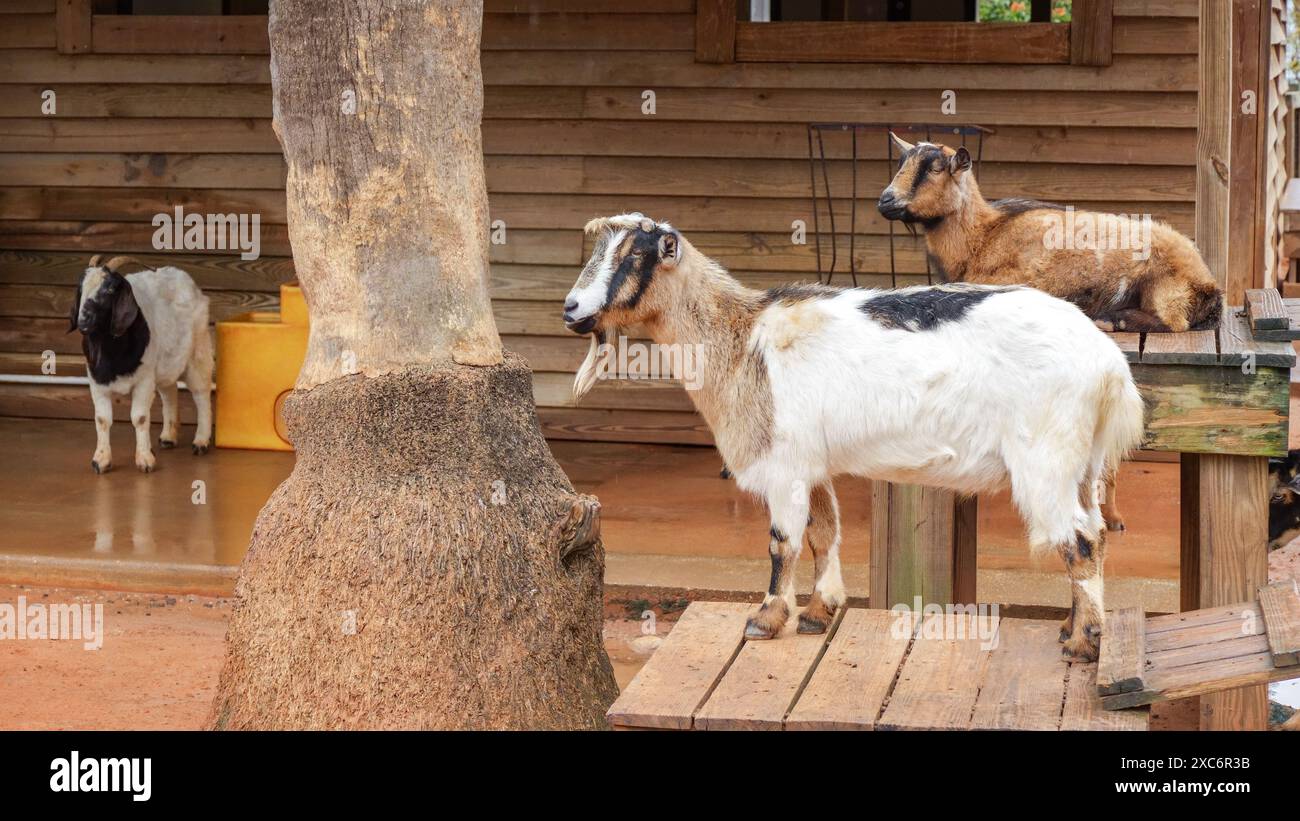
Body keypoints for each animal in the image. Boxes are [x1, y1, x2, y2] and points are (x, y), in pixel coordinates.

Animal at [70, 255, 213, 473]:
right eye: (81, 286)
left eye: (109, 289)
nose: (83, 320)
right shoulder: (96, 381)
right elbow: (102, 420)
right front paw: (100, 460)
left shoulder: (144, 380)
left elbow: (140, 418)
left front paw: (145, 459)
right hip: (165, 364)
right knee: (169, 392)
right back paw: (169, 437)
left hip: (198, 352)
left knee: (201, 394)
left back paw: (201, 441)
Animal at [564, 213, 1145, 661]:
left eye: (632, 256)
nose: (571, 308)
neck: (742, 340)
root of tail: (1108, 366)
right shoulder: (811, 464)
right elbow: (824, 533)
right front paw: (819, 612)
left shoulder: (784, 465)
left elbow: (782, 543)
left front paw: (766, 619)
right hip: (1082, 463)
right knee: (1094, 534)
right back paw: (1072, 627)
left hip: (1045, 457)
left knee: (1078, 540)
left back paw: (1083, 643)